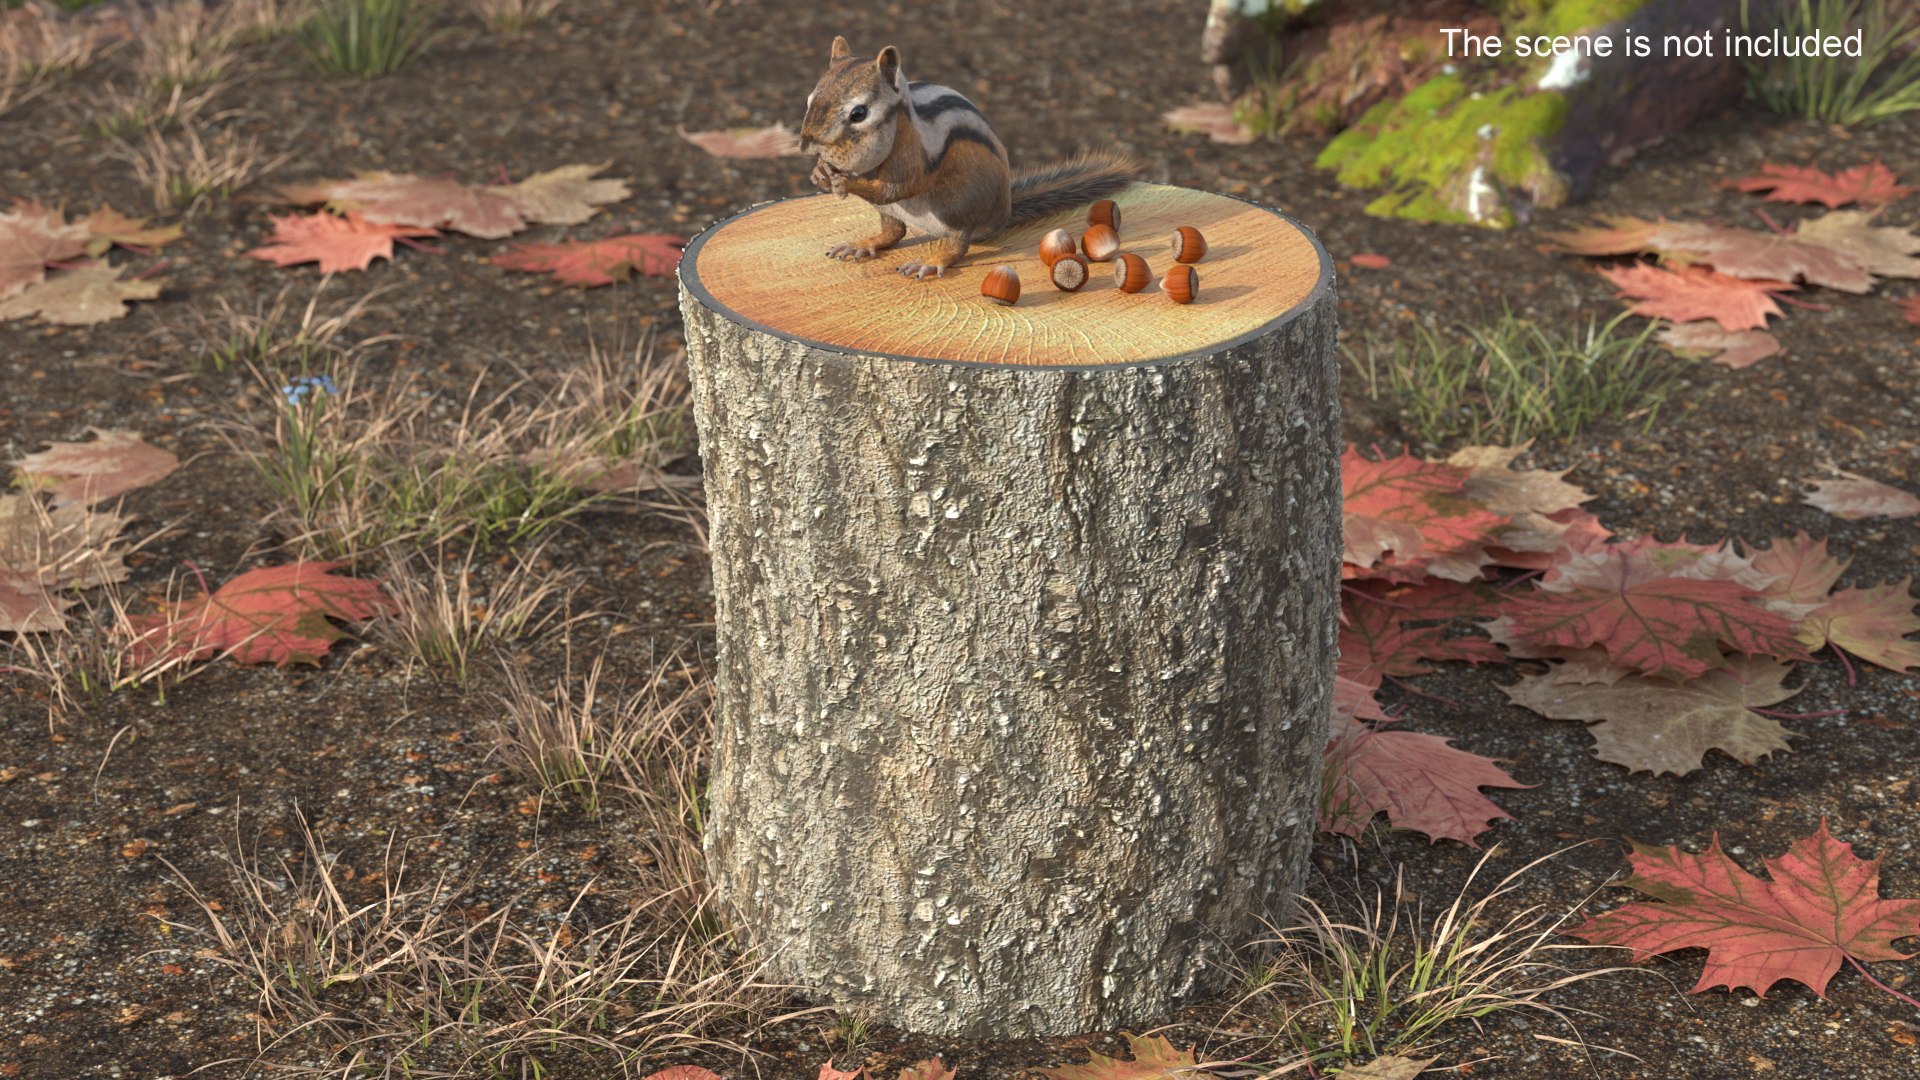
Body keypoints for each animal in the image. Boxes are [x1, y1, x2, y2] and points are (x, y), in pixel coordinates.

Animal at [798, 36, 1136, 280]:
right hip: (898, 213)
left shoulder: (911, 157)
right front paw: (819, 172)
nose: (806, 145)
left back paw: (932, 261)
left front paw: (847, 182)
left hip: (957, 203)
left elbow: (895, 187)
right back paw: (861, 244)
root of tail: (1003, 213)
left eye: (858, 113)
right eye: (810, 99)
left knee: (959, 242)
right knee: (894, 232)